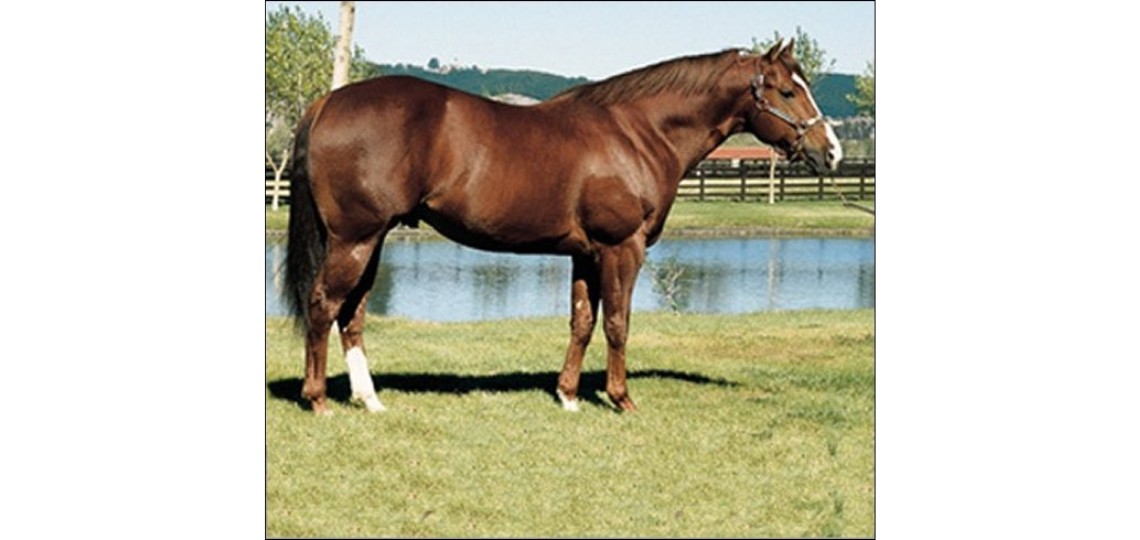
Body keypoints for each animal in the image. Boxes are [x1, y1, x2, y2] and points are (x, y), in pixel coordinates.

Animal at [283, 39, 842, 415]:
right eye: (788, 91)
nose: (832, 151)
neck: (637, 133)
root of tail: (327, 102)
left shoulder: (586, 253)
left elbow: (582, 322)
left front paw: (569, 395)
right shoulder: (622, 248)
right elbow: (617, 323)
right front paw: (621, 399)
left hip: (372, 239)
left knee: (351, 315)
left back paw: (369, 400)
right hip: (355, 239)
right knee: (324, 305)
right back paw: (318, 400)